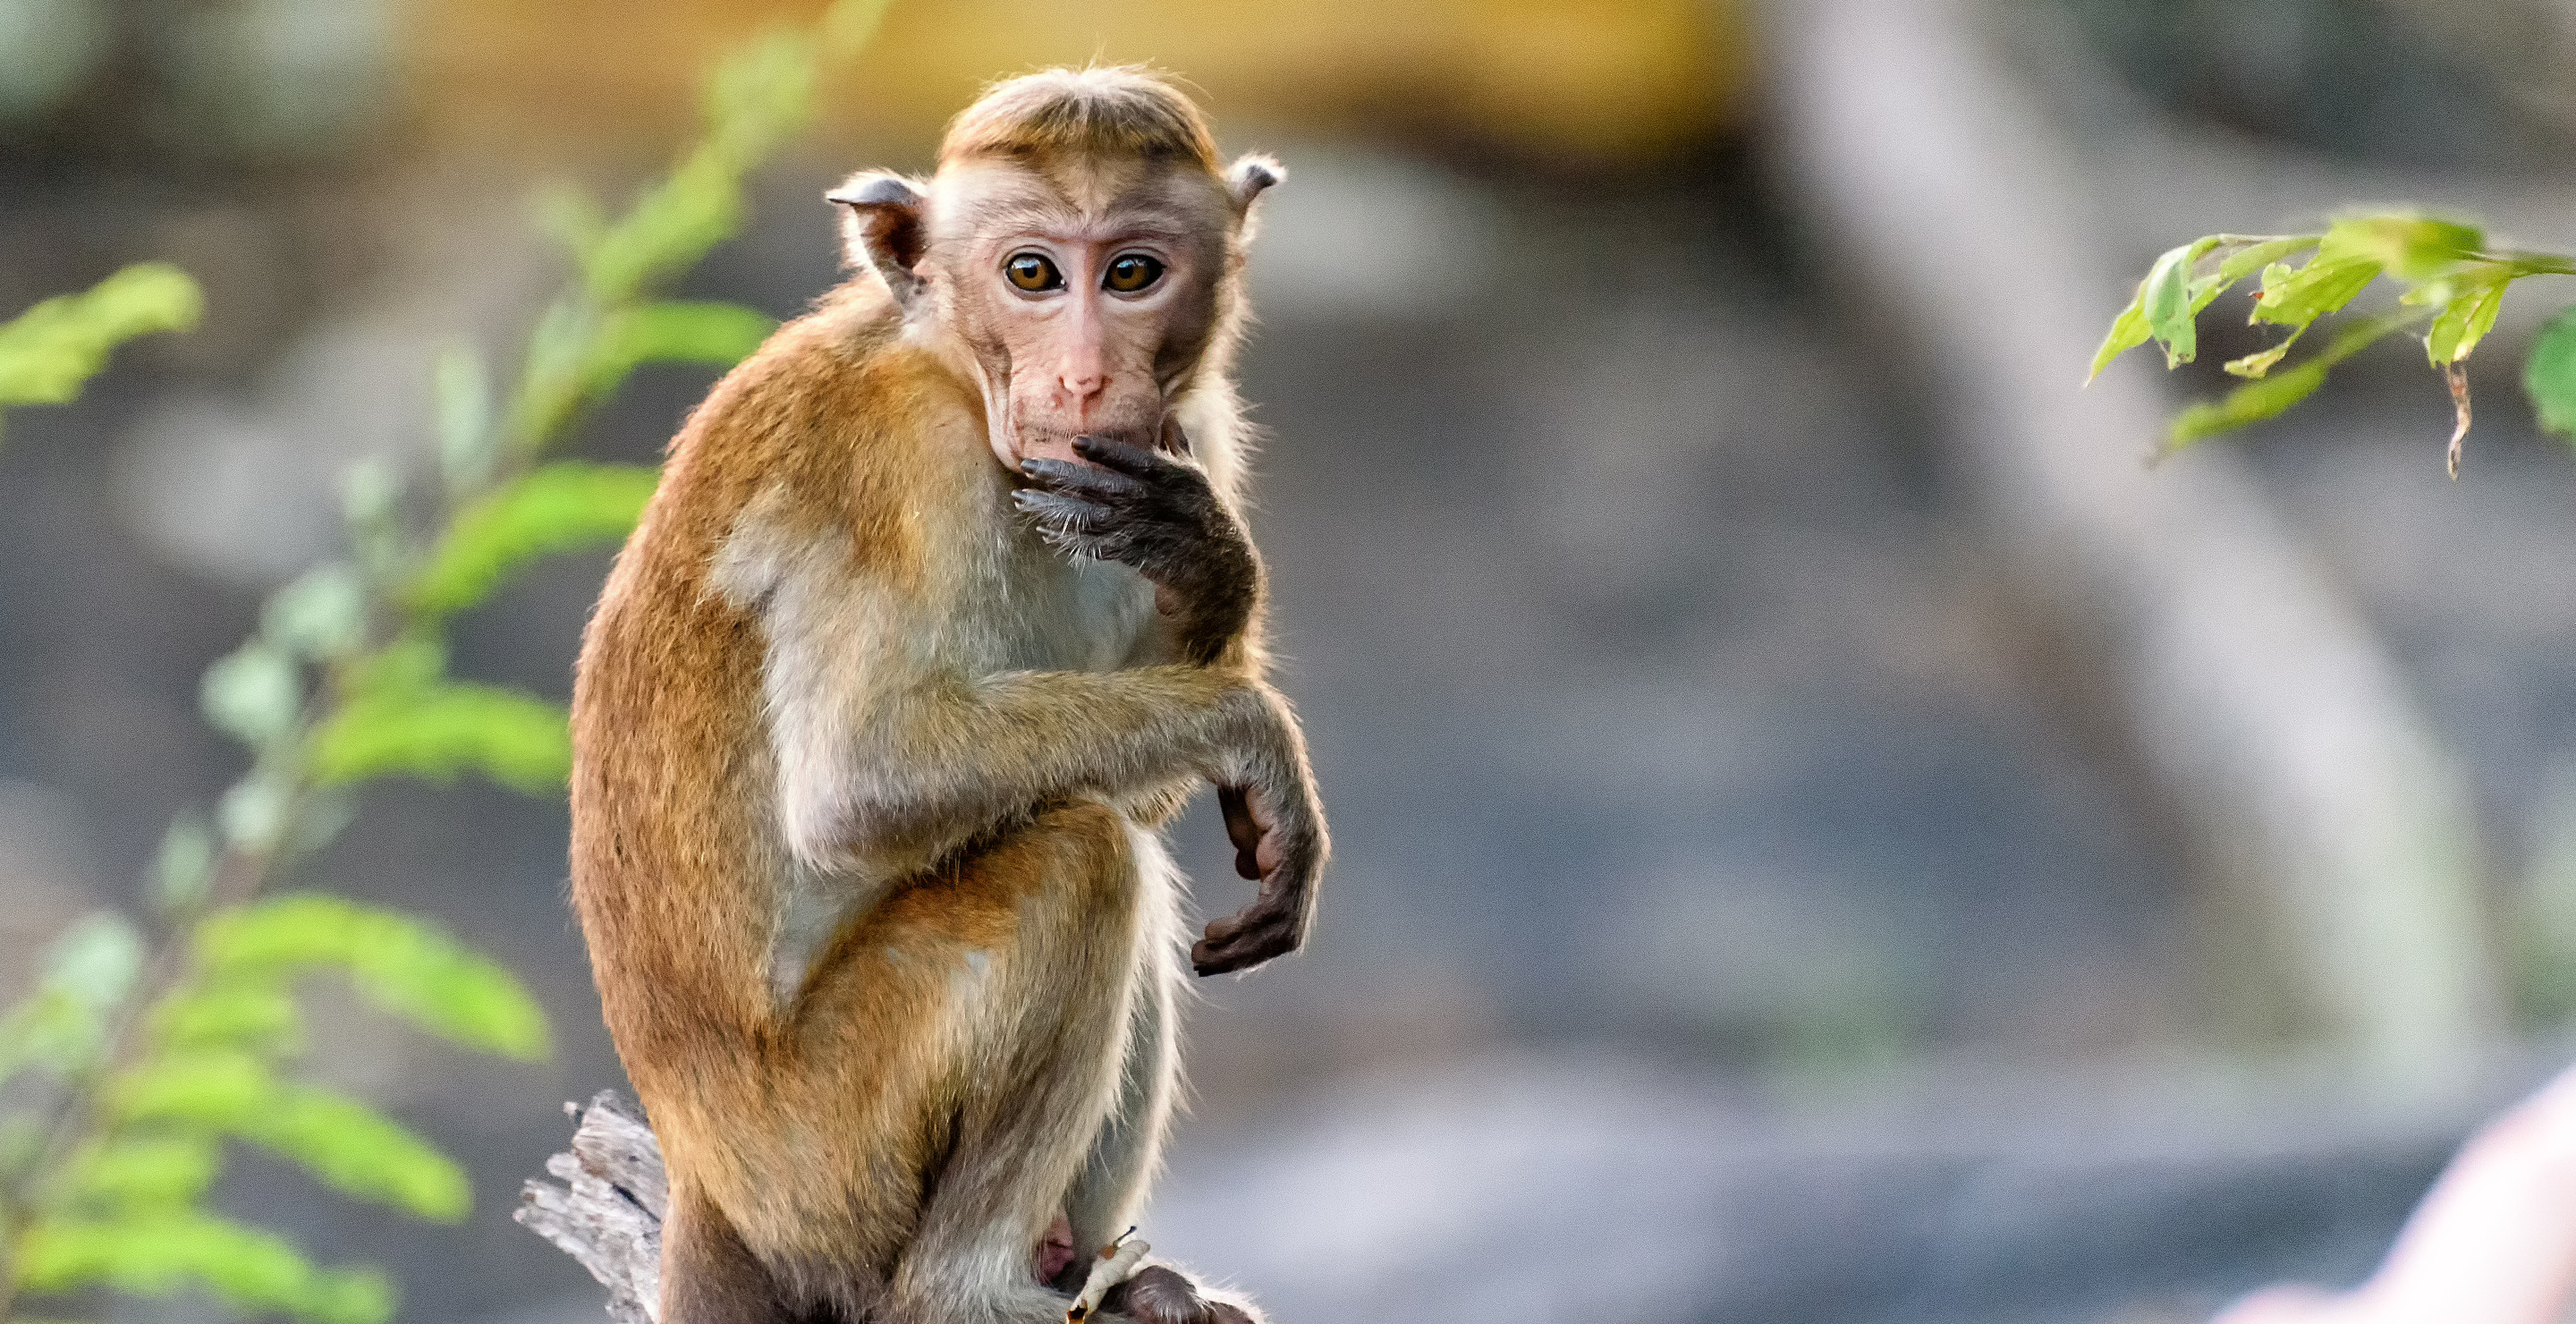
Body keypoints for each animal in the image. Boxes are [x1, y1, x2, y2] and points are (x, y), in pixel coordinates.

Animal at [567, 67, 1326, 1324]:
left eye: (1133, 273)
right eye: (1033, 275)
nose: (1083, 378)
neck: (958, 372)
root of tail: (703, 1180)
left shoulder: (1186, 435)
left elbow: (1147, 781)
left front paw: (1212, 563)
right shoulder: (903, 465)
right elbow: (861, 782)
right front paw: (1257, 733)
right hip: (829, 1147)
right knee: (1082, 857)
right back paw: (971, 1291)